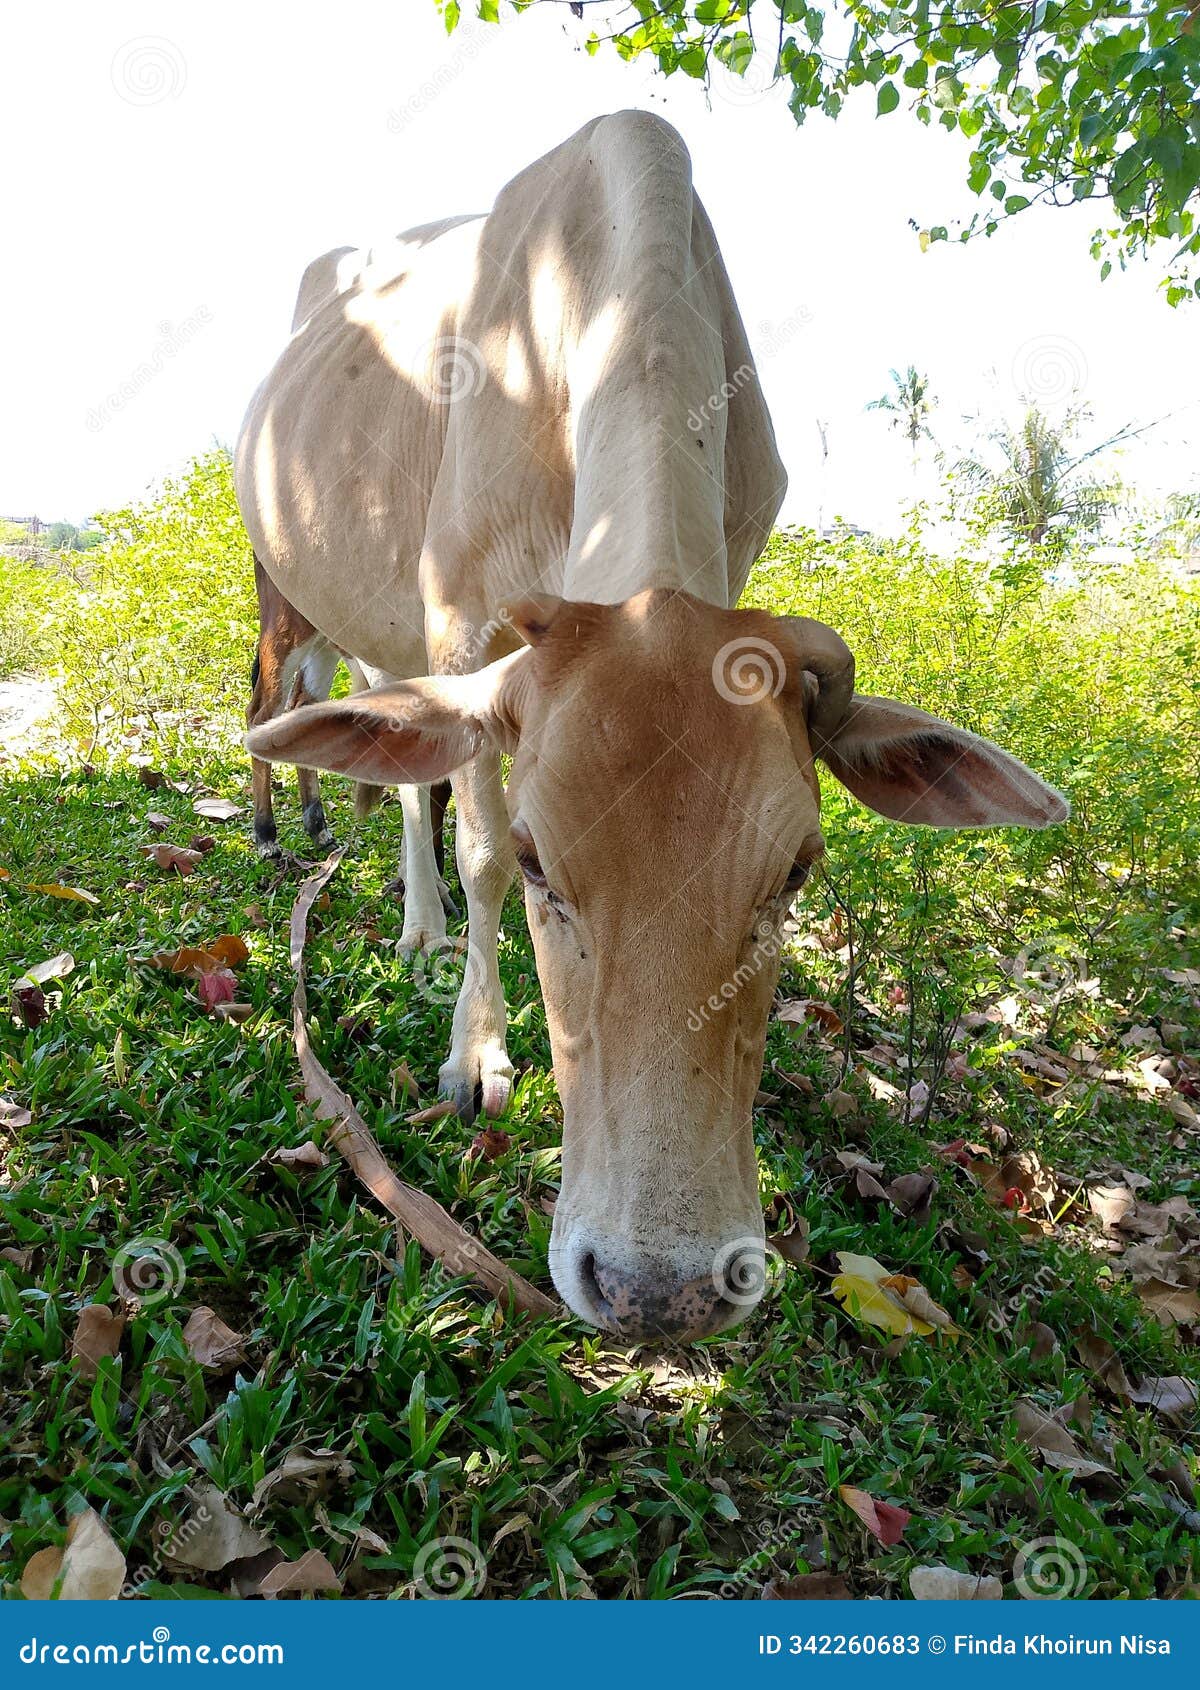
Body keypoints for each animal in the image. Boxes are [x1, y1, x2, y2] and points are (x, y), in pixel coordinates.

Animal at [237, 112, 1067, 1342]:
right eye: (542, 860)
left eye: (798, 871)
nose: (659, 1290)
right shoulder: (459, 622)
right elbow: (474, 846)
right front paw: (476, 1053)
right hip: (290, 589)